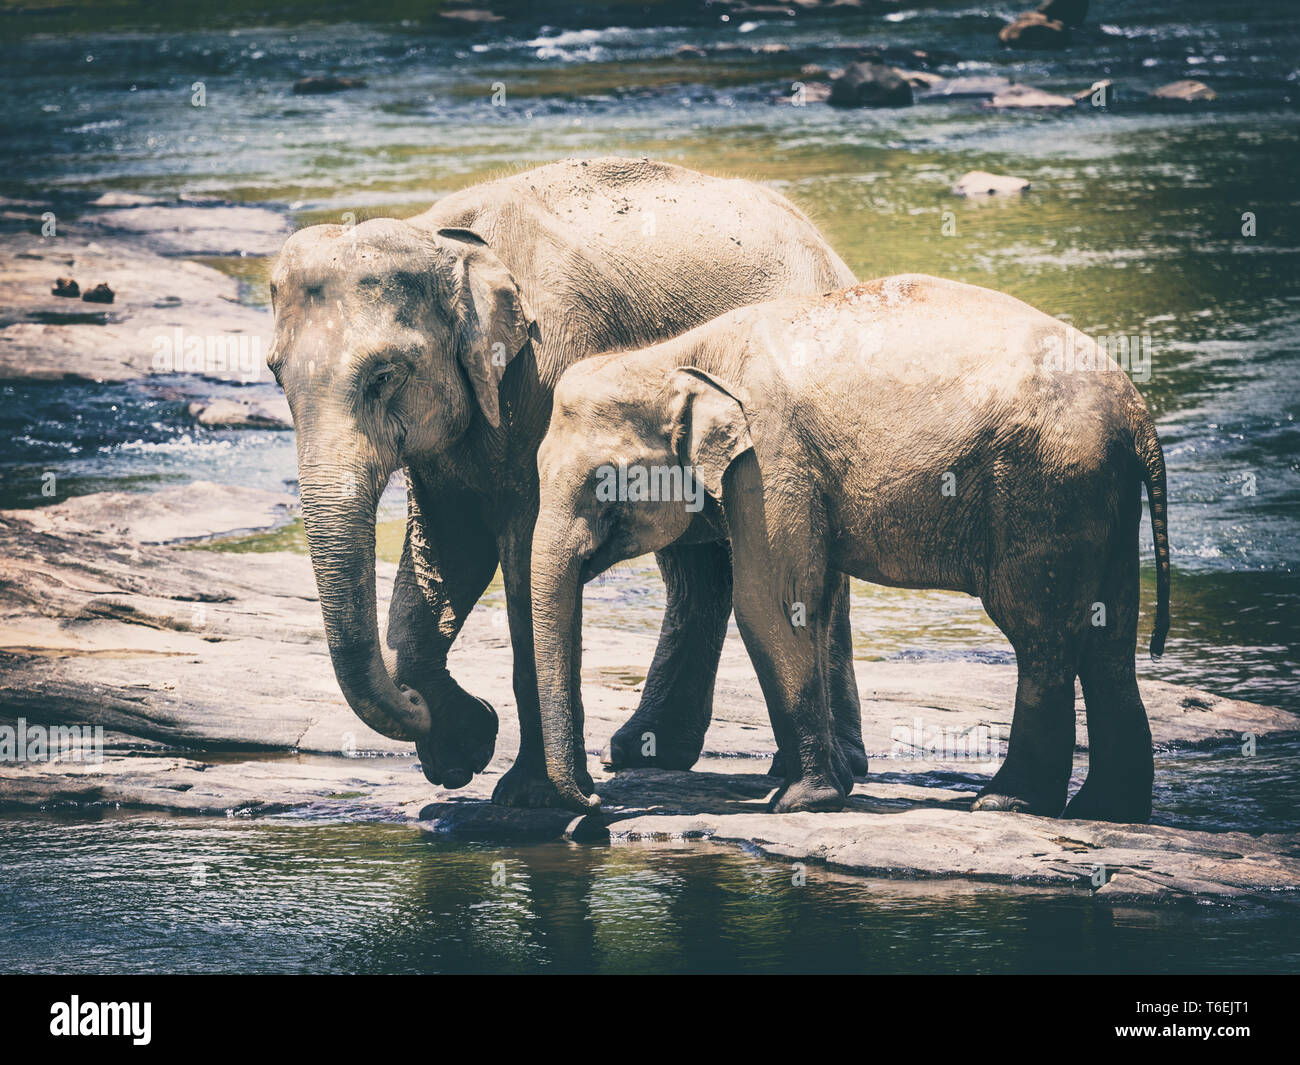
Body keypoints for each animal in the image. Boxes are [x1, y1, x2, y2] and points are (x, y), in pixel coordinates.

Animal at [266, 156, 865, 807]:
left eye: (384, 374)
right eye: (275, 375)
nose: (418, 710)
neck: (442, 238)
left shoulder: (547, 369)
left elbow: (521, 559)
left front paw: (527, 795)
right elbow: (450, 552)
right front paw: (464, 747)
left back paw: (819, 769)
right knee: (697, 566)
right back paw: (643, 752)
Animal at [532, 274, 1171, 821]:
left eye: (603, 483)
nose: (597, 799)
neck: (674, 357)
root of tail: (1139, 418)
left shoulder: (770, 462)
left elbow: (770, 604)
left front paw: (798, 802)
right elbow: (807, 604)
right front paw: (814, 784)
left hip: (1045, 485)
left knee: (1039, 633)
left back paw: (1006, 804)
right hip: (1100, 497)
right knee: (1109, 637)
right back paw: (1108, 811)